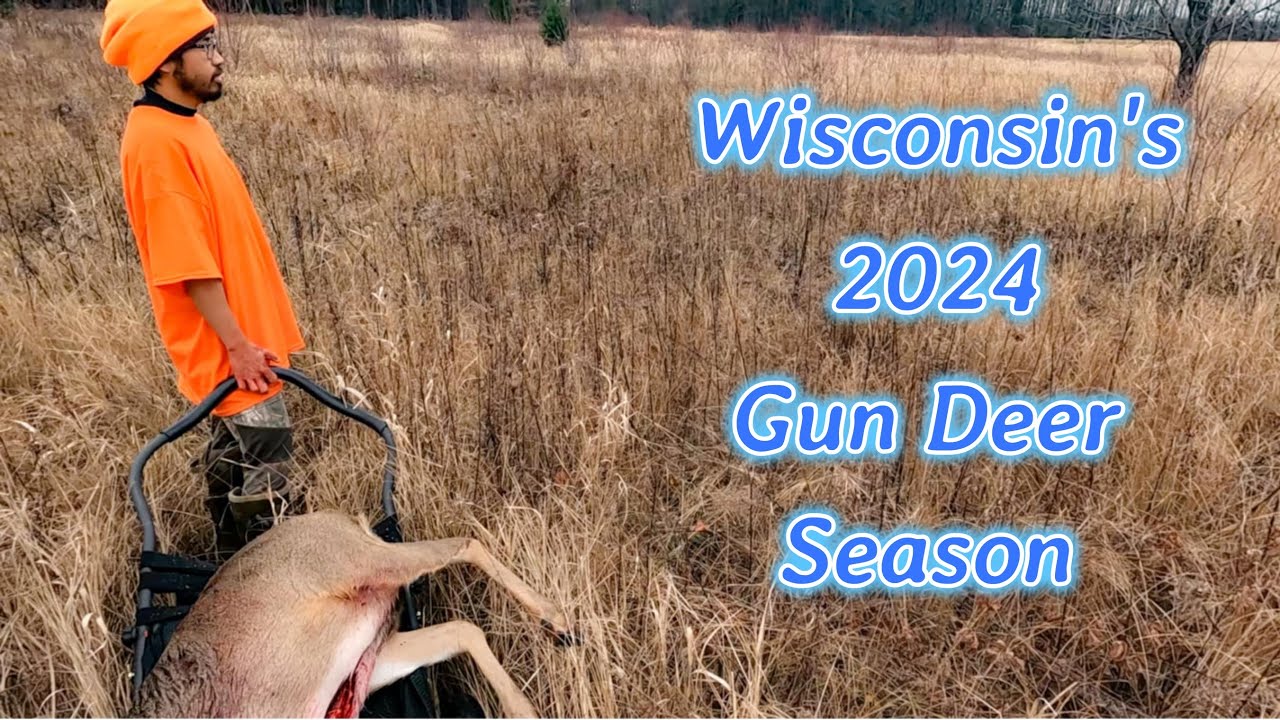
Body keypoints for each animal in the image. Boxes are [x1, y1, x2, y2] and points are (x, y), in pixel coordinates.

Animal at [132, 509, 578, 718]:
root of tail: (343, 518)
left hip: (359, 561)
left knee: (466, 542)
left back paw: (558, 623)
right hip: (365, 655)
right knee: (461, 629)